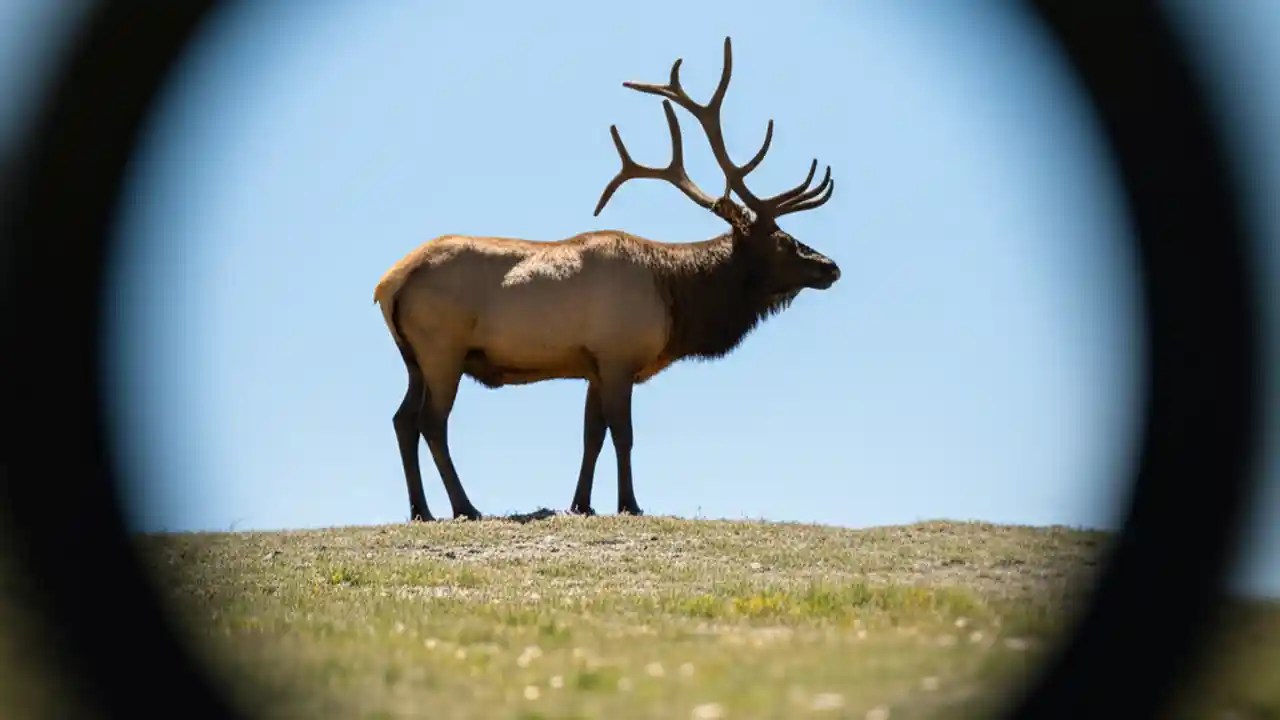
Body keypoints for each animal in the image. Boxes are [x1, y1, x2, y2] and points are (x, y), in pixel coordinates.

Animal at [373, 37, 840, 521]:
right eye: (783, 242)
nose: (830, 267)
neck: (677, 298)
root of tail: (386, 285)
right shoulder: (617, 356)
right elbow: (623, 434)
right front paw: (630, 503)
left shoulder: (593, 365)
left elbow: (591, 437)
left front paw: (581, 502)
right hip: (443, 348)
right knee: (432, 422)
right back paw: (465, 506)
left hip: (414, 358)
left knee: (402, 419)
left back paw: (421, 509)